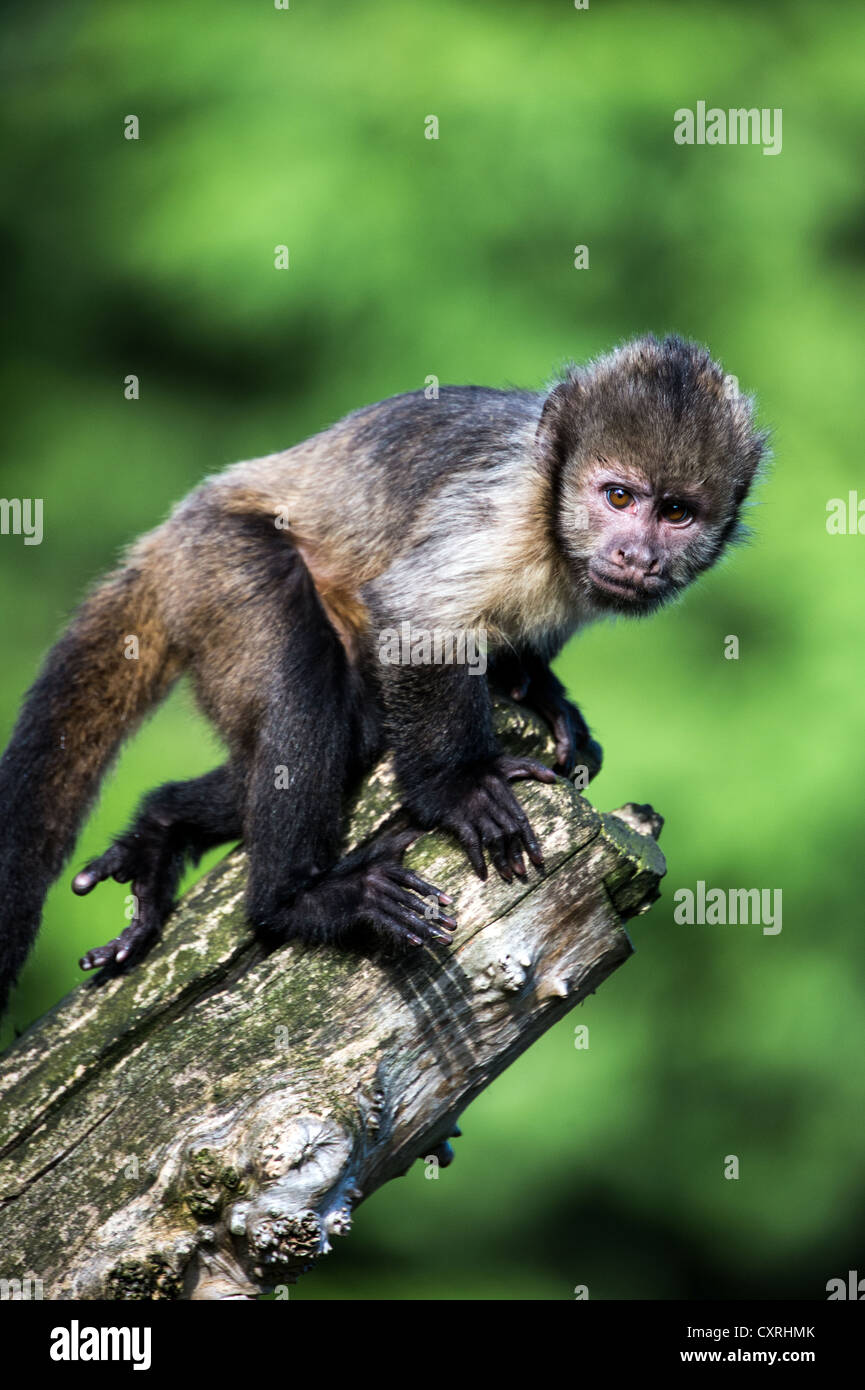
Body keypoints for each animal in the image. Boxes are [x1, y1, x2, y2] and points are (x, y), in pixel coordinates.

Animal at [0, 334, 767, 1018]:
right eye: (617, 497)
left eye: (675, 512)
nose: (636, 554)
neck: (553, 523)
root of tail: (167, 541)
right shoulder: (502, 509)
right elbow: (417, 618)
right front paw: (459, 789)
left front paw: (543, 696)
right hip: (216, 565)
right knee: (313, 687)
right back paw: (293, 901)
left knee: (337, 736)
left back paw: (162, 826)